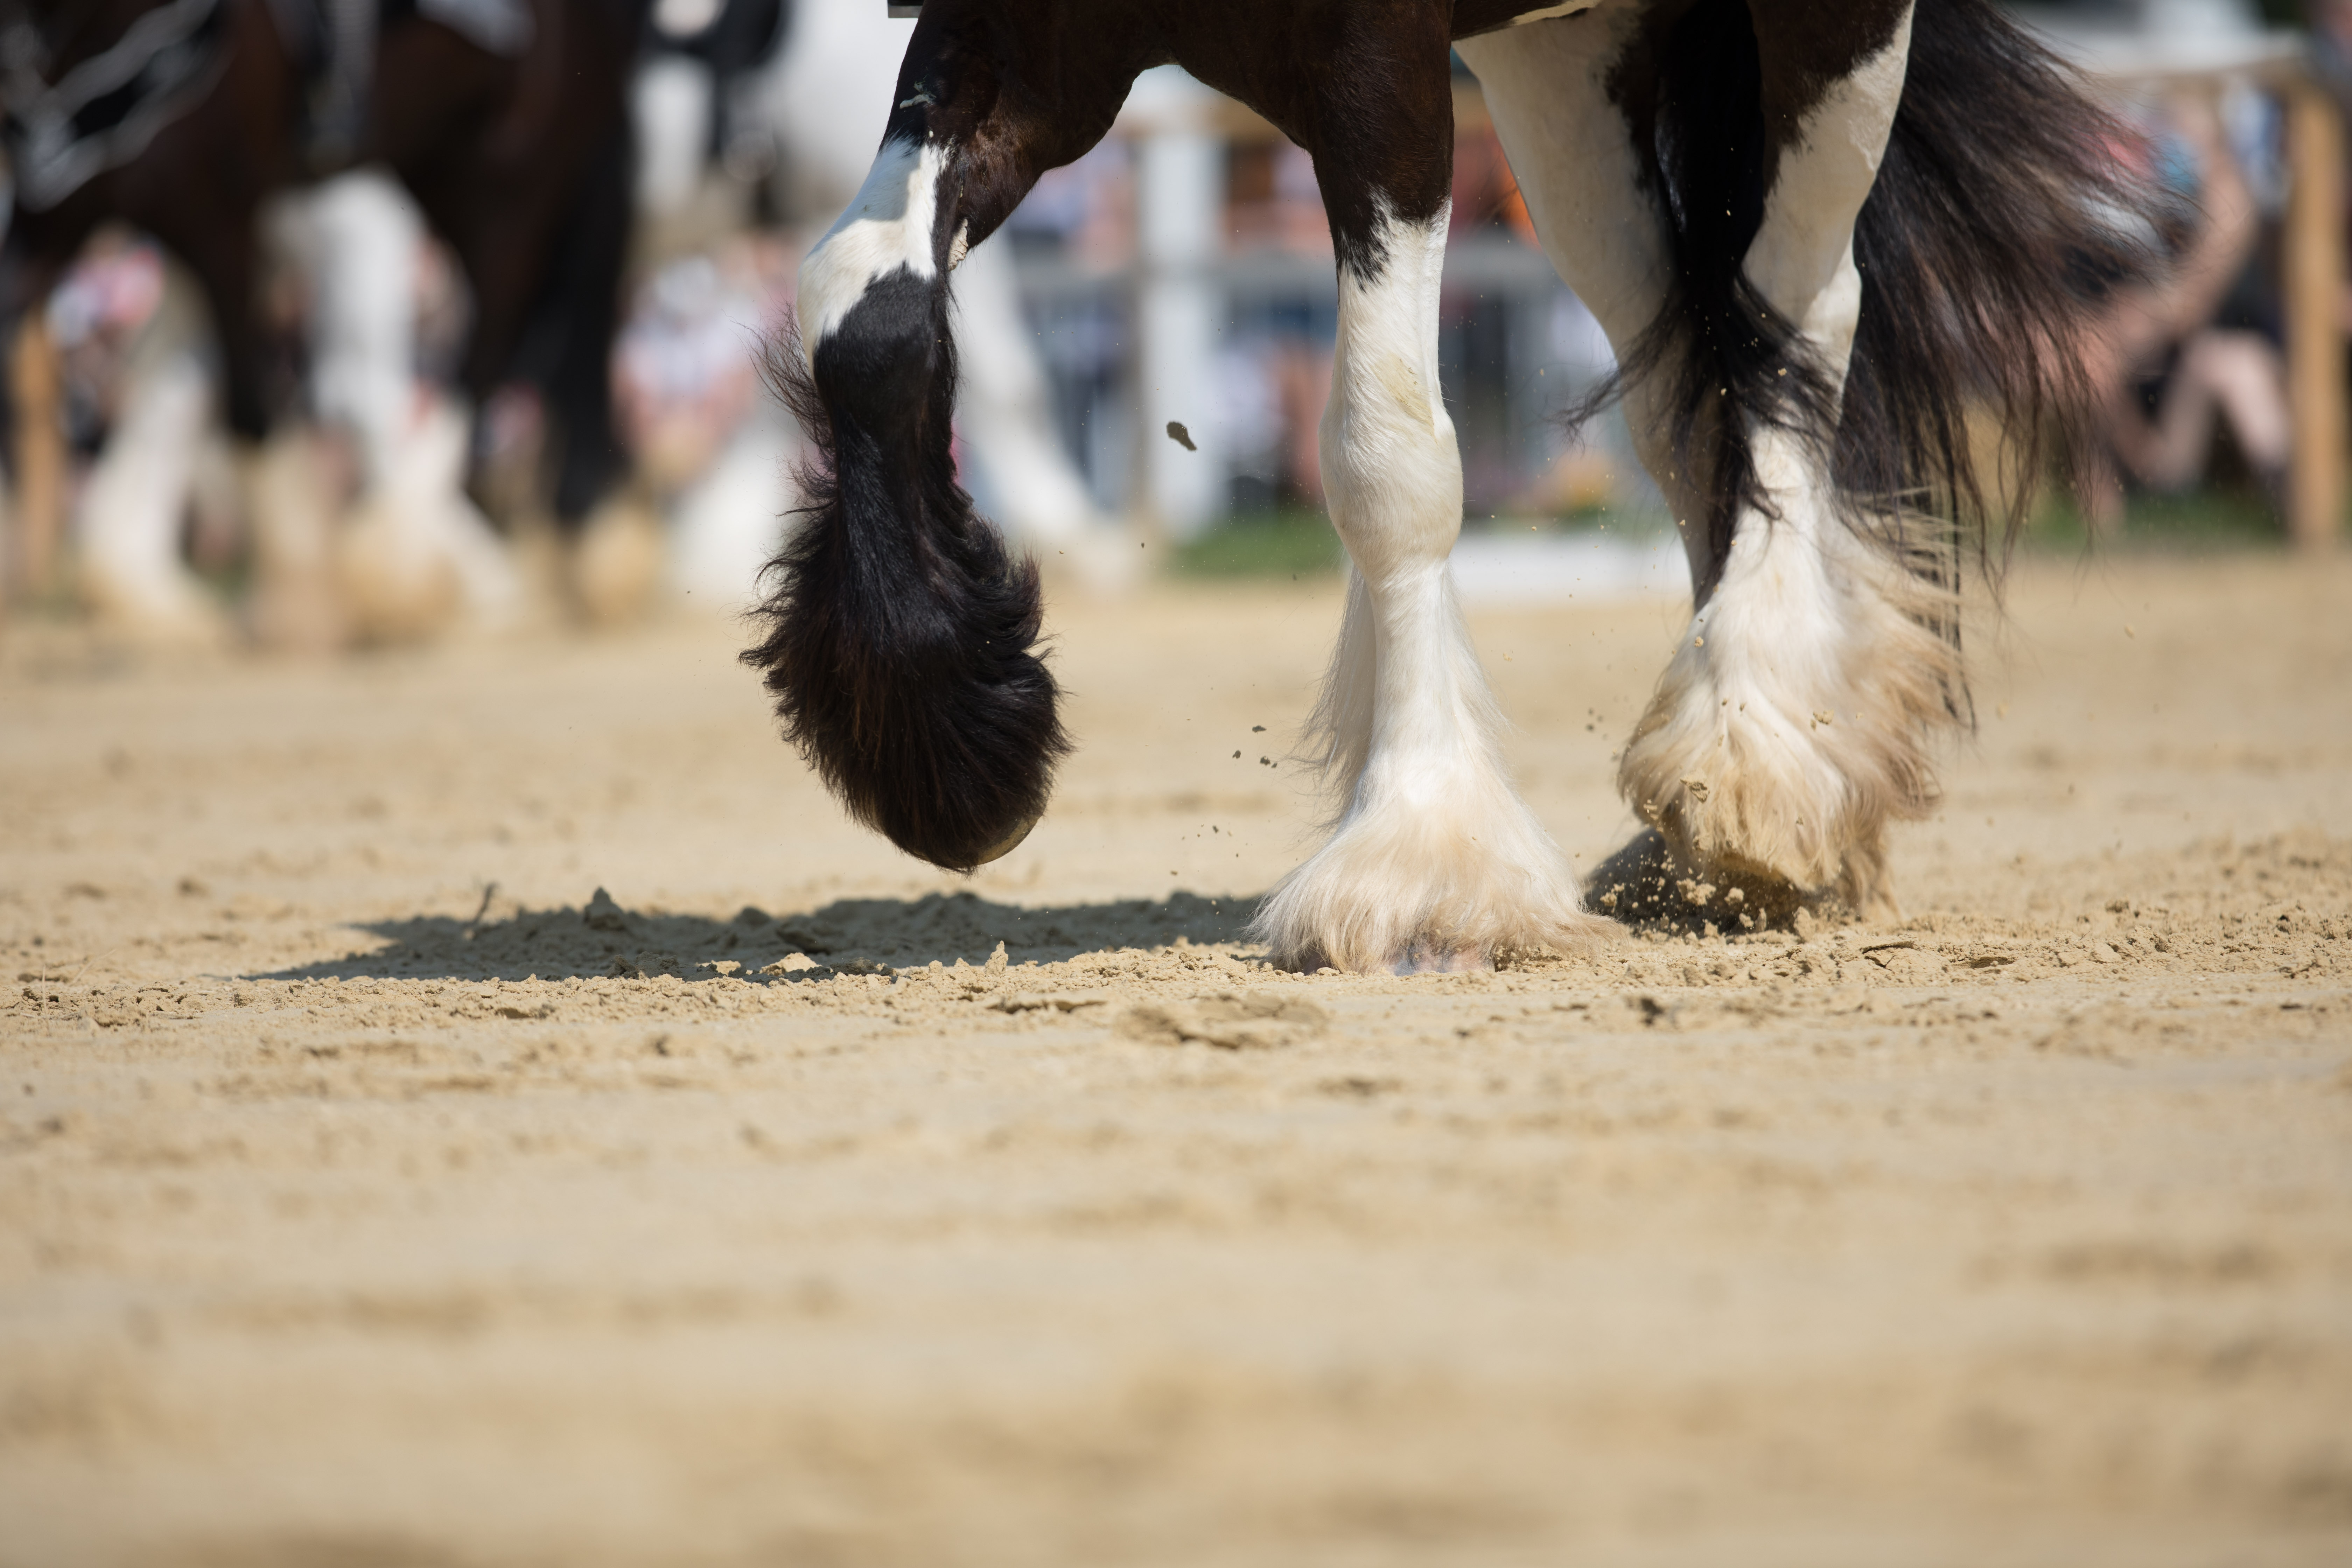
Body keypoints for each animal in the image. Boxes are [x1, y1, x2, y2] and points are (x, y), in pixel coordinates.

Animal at [0, 0, 648, 638]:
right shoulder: (55, 214)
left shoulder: (219, 216)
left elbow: (250, 405)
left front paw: (300, 593)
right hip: (439, 176)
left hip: (508, 190)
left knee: (489, 349)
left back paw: (418, 565)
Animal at [745, 0, 2160, 974]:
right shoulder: (1029, 34)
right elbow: (859, 303)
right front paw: (950, 748)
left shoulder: (1374, 66)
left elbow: (1388, 454)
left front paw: (1421, 856)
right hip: (1567, 68)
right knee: (1688, 372)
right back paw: (1716, 834)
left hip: (1824, 36)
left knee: (1794, 326)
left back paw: (1753, 749)